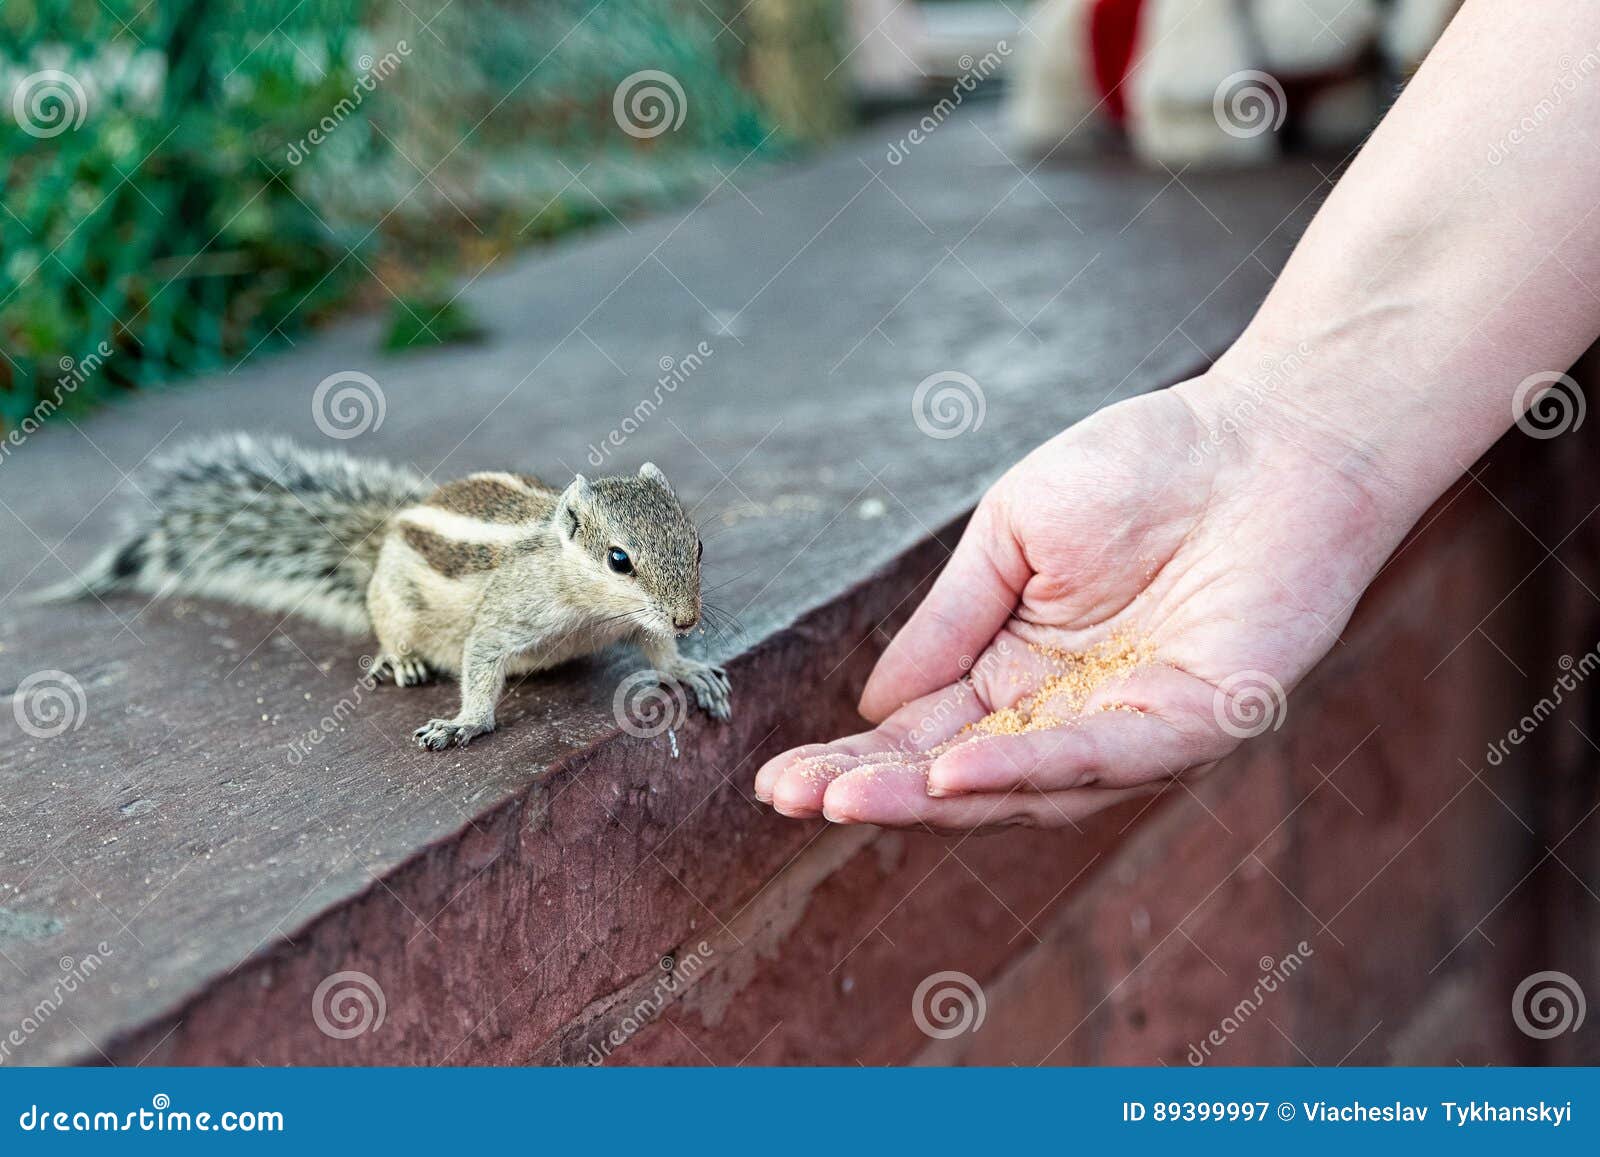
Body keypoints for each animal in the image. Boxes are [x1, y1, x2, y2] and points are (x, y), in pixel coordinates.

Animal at [35, 433, 732, 749]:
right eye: (618, 559)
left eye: (697, 543)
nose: (688, 618)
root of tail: (387, 530)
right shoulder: (508, 614)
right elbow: (482, 662)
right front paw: (464, 723)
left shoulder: (637, 623)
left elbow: (656, 649)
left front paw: (687, 669)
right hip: (393, 600)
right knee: (391, 629)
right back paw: (400, 659)